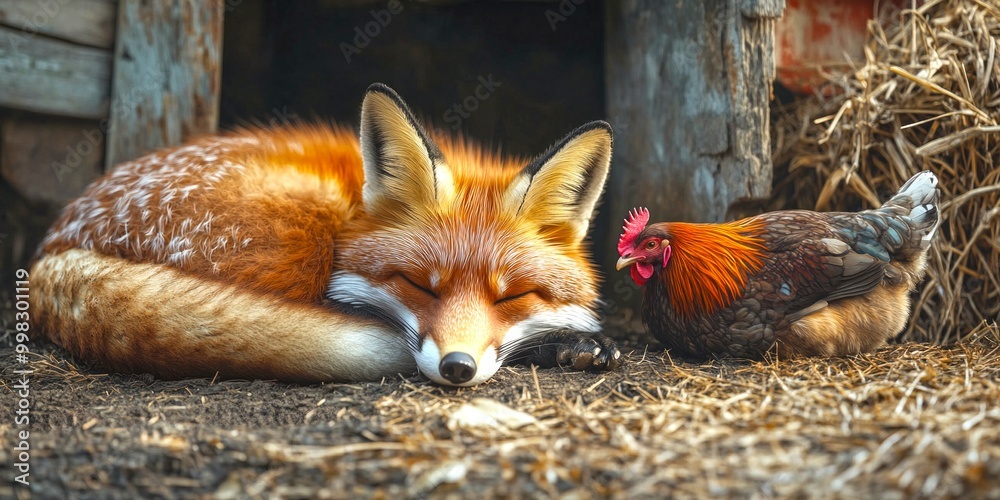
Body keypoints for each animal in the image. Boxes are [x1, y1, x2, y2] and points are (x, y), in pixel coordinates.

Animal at [28, 84, 620, 386]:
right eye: (418, 285)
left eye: (512, 295)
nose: (457, 368)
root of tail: (54, 247)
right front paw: (568, 343)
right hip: (305, 236)